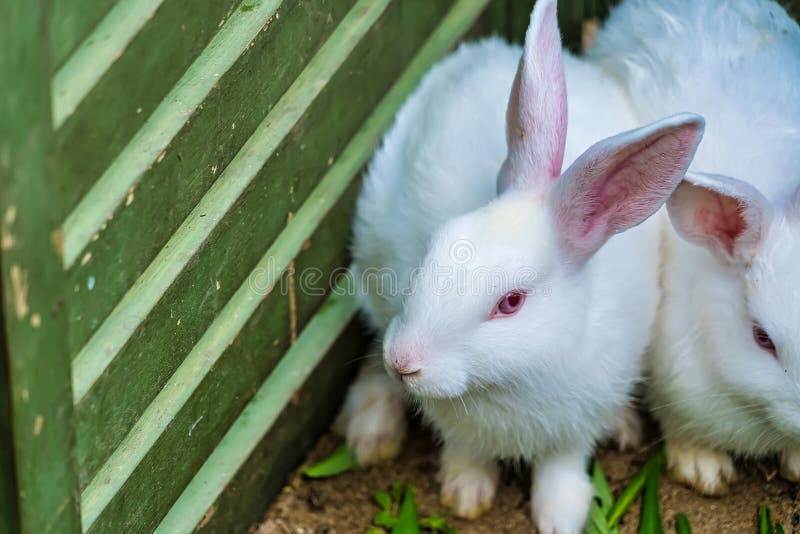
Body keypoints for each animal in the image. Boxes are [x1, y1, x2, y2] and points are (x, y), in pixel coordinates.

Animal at [337, 0, 705, 530]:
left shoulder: (578, 422)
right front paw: (466, 493)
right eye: (434, 250)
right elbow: (466, 450)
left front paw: (561, 516)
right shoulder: (457, 424)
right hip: (373, 270)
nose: (405, 362)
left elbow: (562, 468)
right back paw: (372, 432)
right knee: (369, 352)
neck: (506, 380)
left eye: (510, 302)